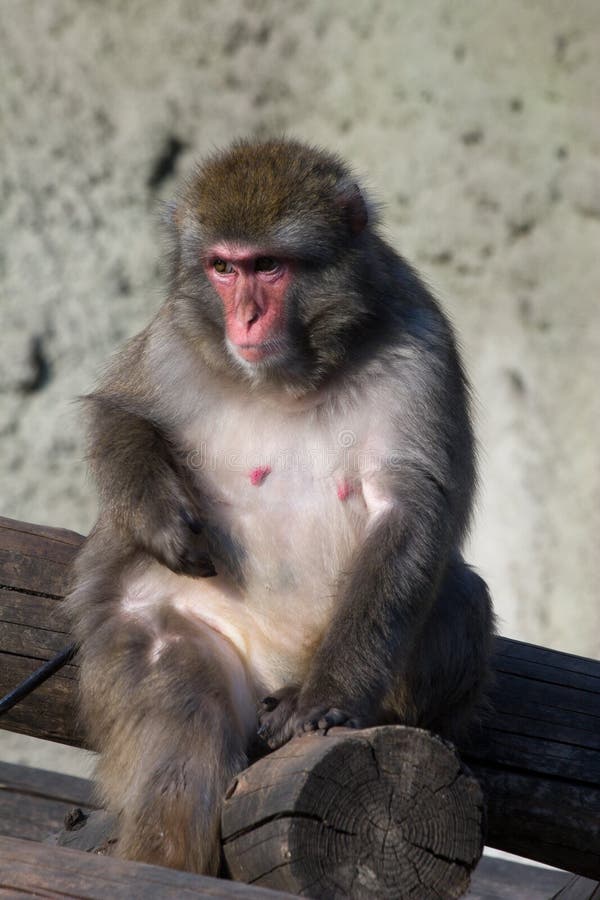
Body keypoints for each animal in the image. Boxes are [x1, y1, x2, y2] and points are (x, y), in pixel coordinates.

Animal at [66, 137, 494, 876]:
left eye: (268, 266)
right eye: (222, 267)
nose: (244, 319)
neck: (291, 378)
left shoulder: (419, 347)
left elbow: (407, 511)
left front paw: (328, 698)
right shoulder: (177, 341)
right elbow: (123, 414)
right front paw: (162, 520)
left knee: (458, 600)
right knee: (181, 747)